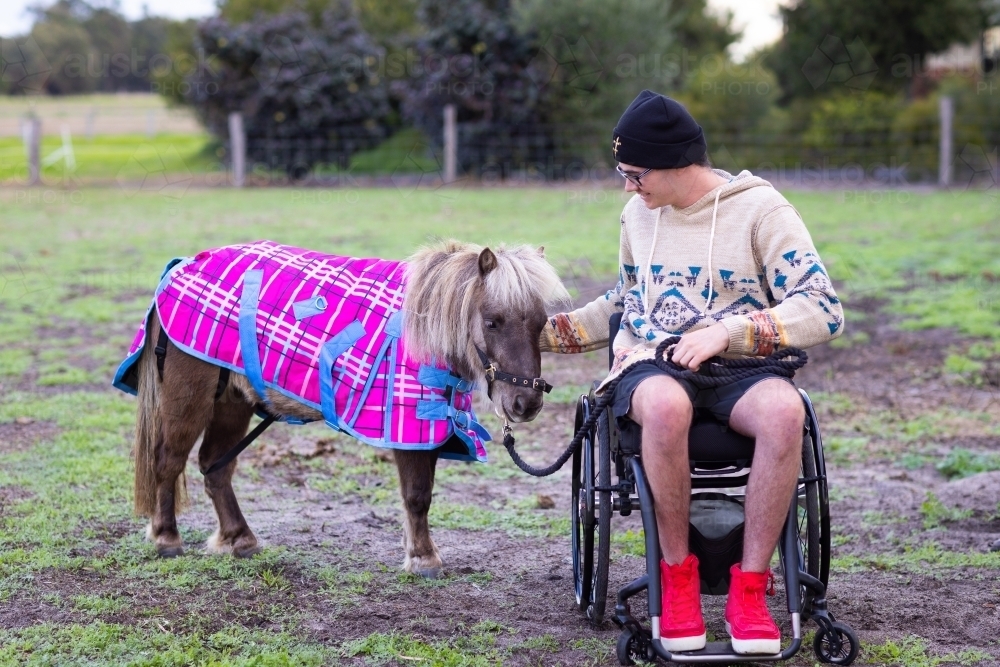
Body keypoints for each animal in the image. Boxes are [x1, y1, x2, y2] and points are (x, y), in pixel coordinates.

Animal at [124, 239, 568, 578]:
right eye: (493, 321)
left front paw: (417, 550)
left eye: (541, 322)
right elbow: (417, 495)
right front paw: (424, 559)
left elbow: (423, 495)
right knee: (168, 460)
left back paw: (240, 539)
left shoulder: (428, 428)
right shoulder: (406, 427)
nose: (525, 403)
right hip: (188, 397)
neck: (424, 326)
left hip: (233, 401)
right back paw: (166, 537)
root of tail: (183, 266)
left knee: (216, 468)